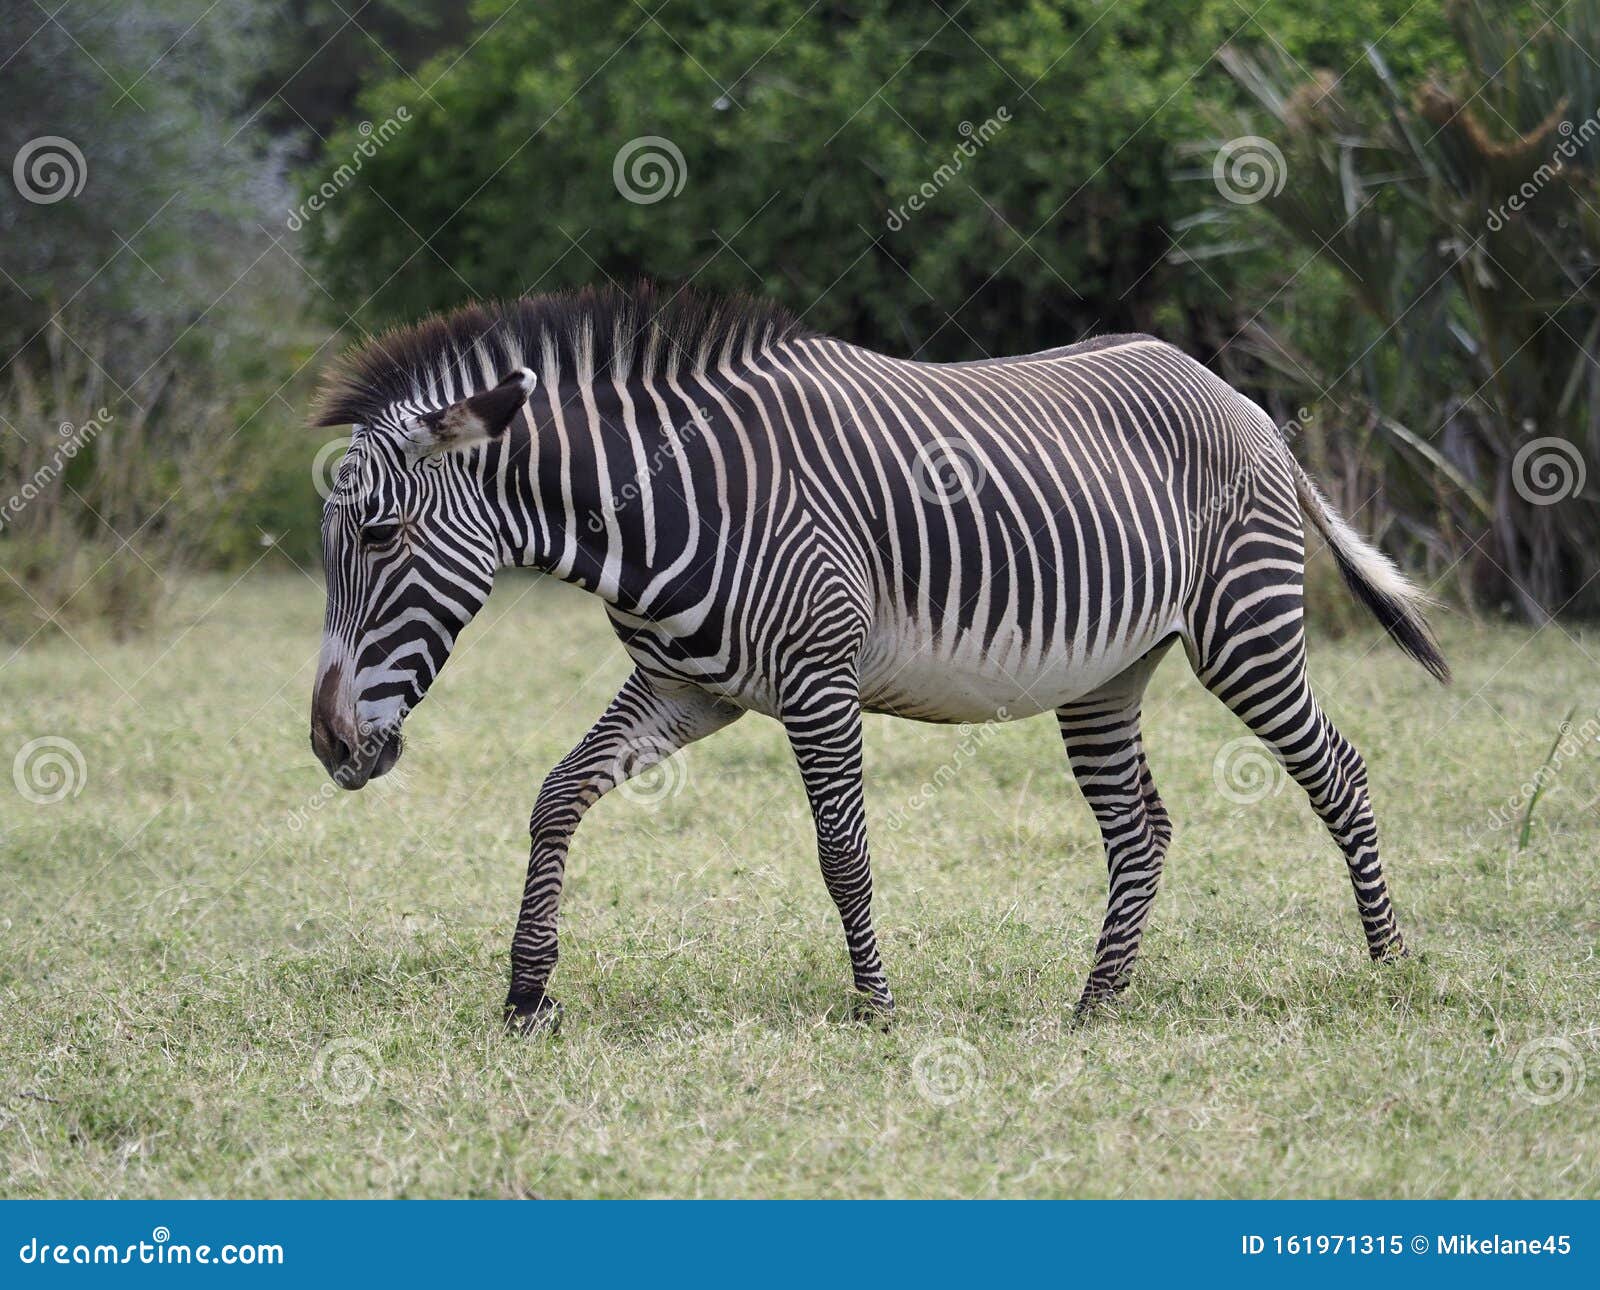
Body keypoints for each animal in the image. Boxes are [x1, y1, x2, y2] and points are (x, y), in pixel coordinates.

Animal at [308, 283, 1447, 1032]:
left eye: (379, 538)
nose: (326, 747)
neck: (662, 505)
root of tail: (1235, 395)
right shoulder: (685, 687)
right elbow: (555, 797)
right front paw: (527, 991)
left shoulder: (819, 681)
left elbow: (841, 851)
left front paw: (875, 1007)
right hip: (1105, 674)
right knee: (1141, 830)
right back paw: (1095, 1001)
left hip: (1243, 630)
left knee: (1337, 774)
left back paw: (1391, 968)